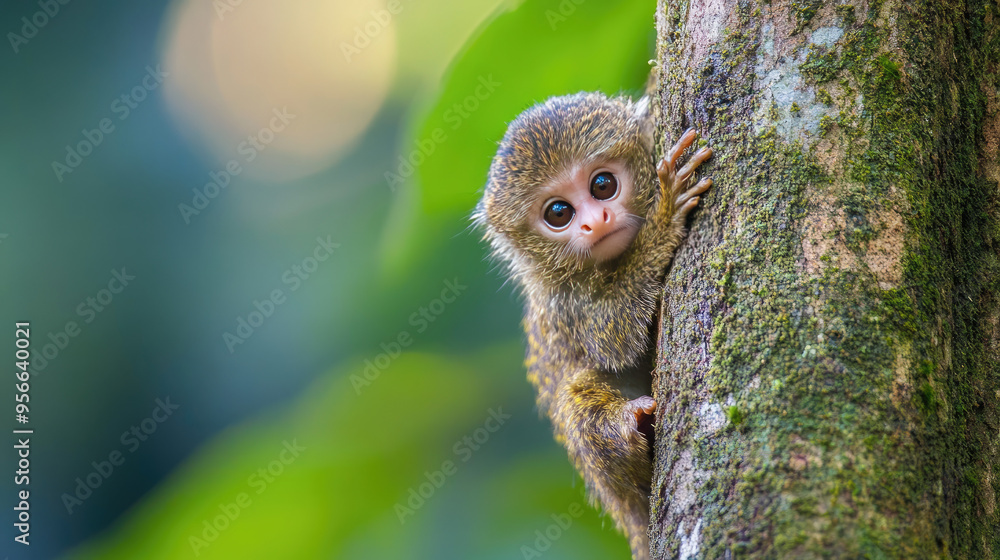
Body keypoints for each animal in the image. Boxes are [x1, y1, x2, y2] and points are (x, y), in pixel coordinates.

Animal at [473, 91, 712, 560]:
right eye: (558, 213)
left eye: (603, 185)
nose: (594, 222)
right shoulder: (566, 305)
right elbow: (612, 340)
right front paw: (662, 222)